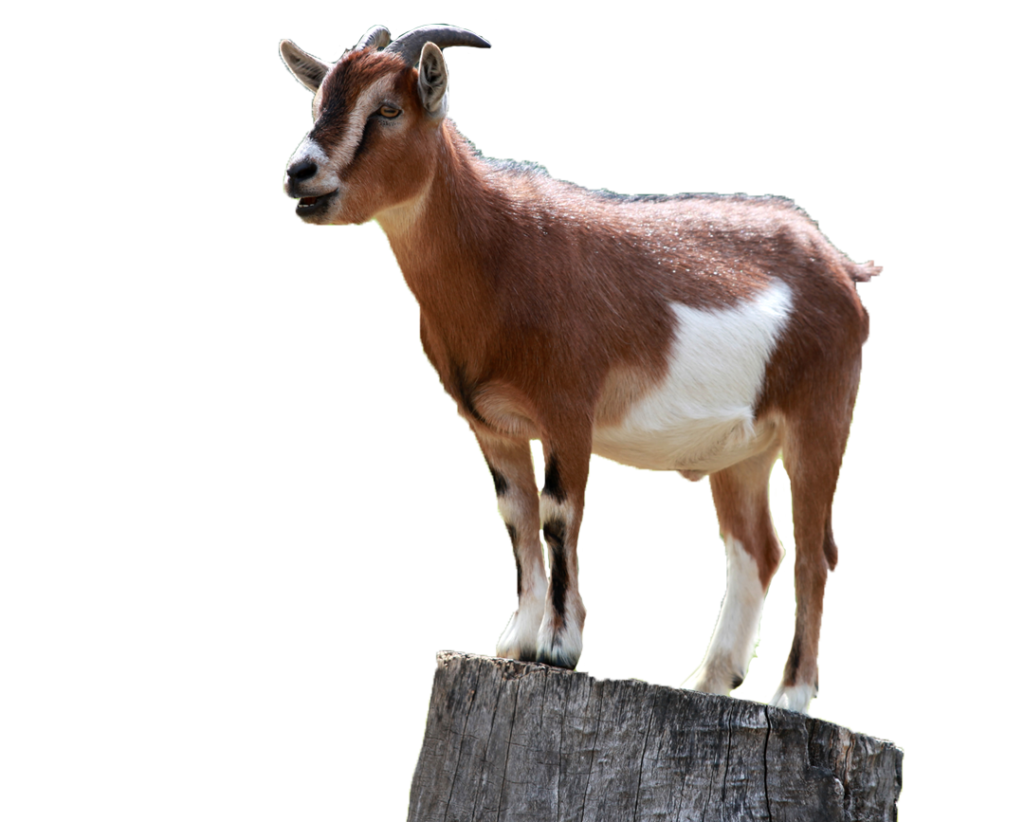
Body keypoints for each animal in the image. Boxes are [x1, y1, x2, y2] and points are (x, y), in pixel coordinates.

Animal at [279, 24, 881, 714]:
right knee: (758, 548)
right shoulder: (491, 423)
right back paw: (707, 681)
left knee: (813, 550)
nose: (300, 173)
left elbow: (560, 512)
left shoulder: (567, 408)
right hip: (743, 450)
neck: (498, 250)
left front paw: (559, 648)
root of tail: (838, 266)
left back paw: (790, 696)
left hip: (820, 414)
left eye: (387, 110)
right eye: (319, 102)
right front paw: (515, 642)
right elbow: (516, 514)